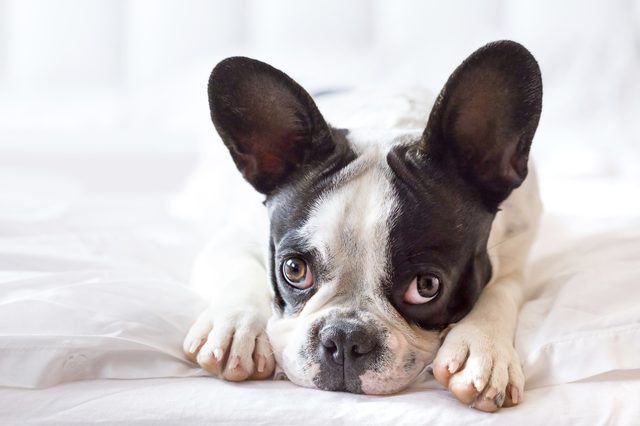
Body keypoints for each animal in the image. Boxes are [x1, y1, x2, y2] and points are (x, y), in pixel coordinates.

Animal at [182, 40, 544, 412]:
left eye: (426, 286)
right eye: (294, 270)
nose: (344, 337)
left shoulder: (517, 256)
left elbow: (500, 291)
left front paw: (484, 349)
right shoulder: (231, 242)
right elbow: (243, 273)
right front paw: (236, 327)